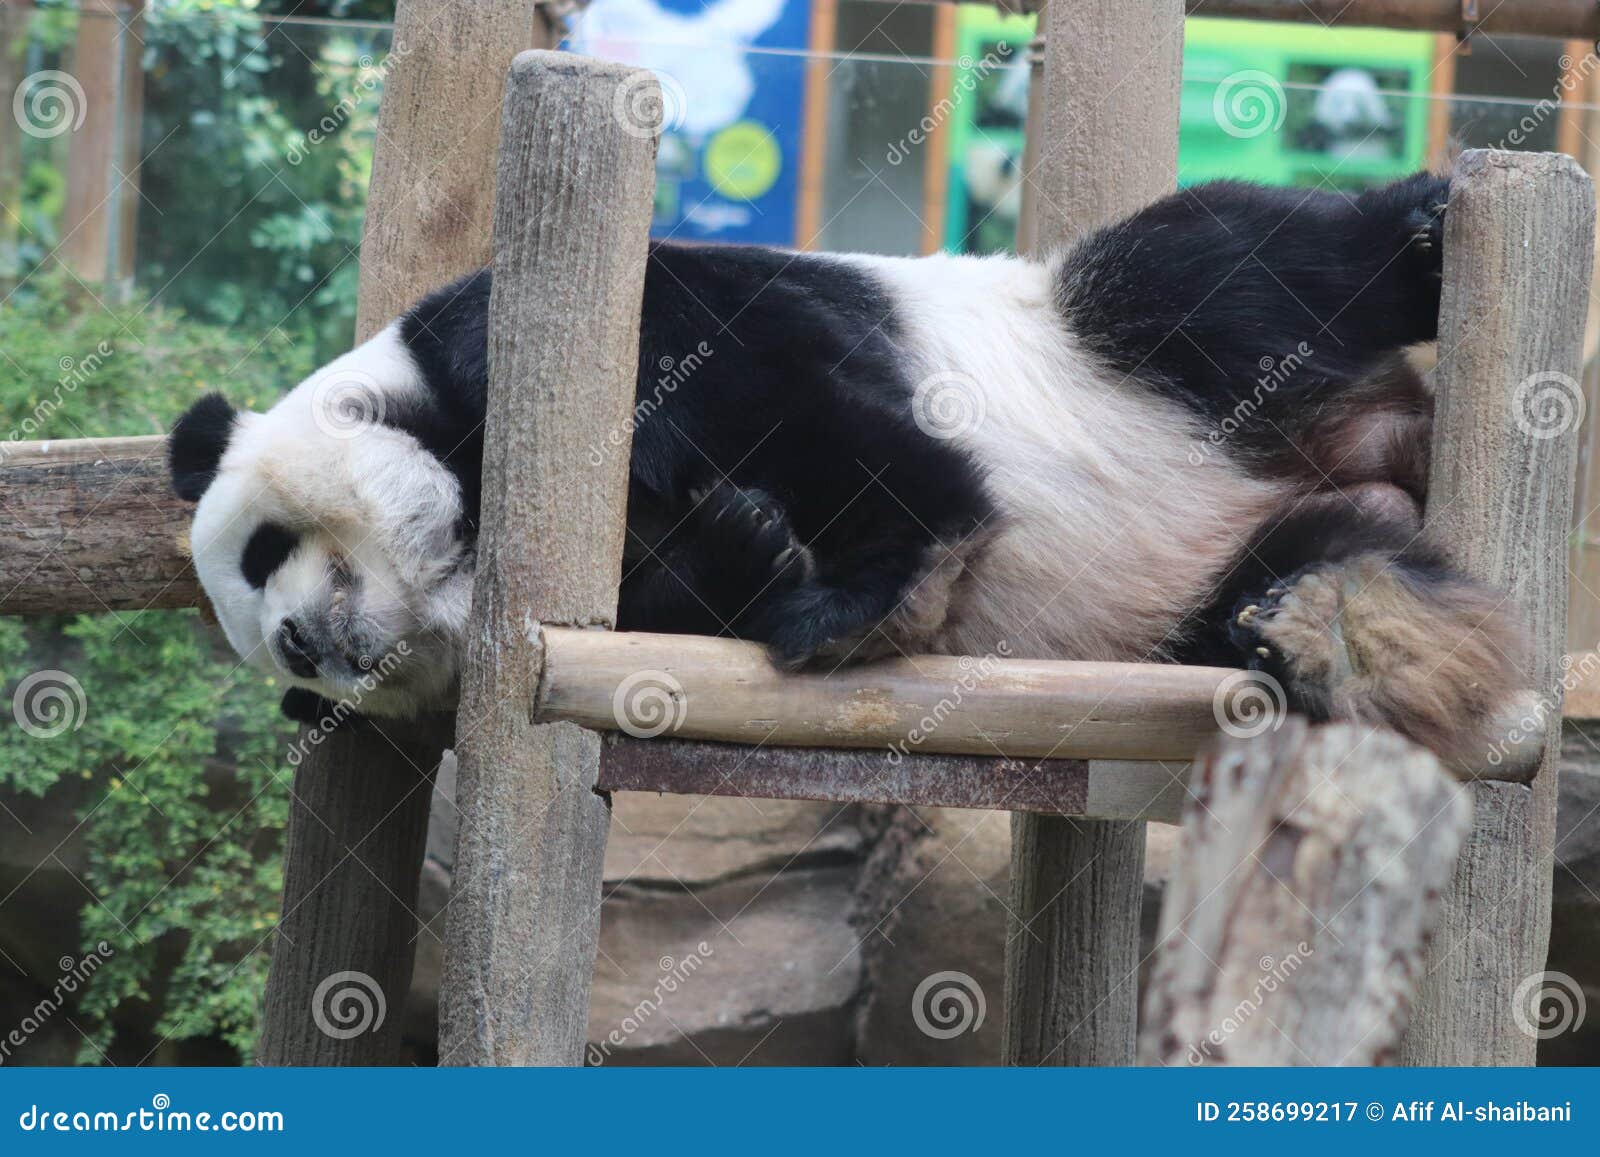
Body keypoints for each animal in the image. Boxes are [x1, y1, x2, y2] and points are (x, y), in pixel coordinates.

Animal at [168, 171, 1527, 773]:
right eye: (290, 673)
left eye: (265, 550)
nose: (302, 642)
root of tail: (1377, 435)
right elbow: (675, 594)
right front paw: (747, 546)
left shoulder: (541, 326)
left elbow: (765, 384)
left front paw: (878, 584)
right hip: (1215, 575)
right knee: (1309, 560)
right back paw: (1342, 622)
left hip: (1124, 346)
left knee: (1225, 270)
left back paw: (1427, 225)